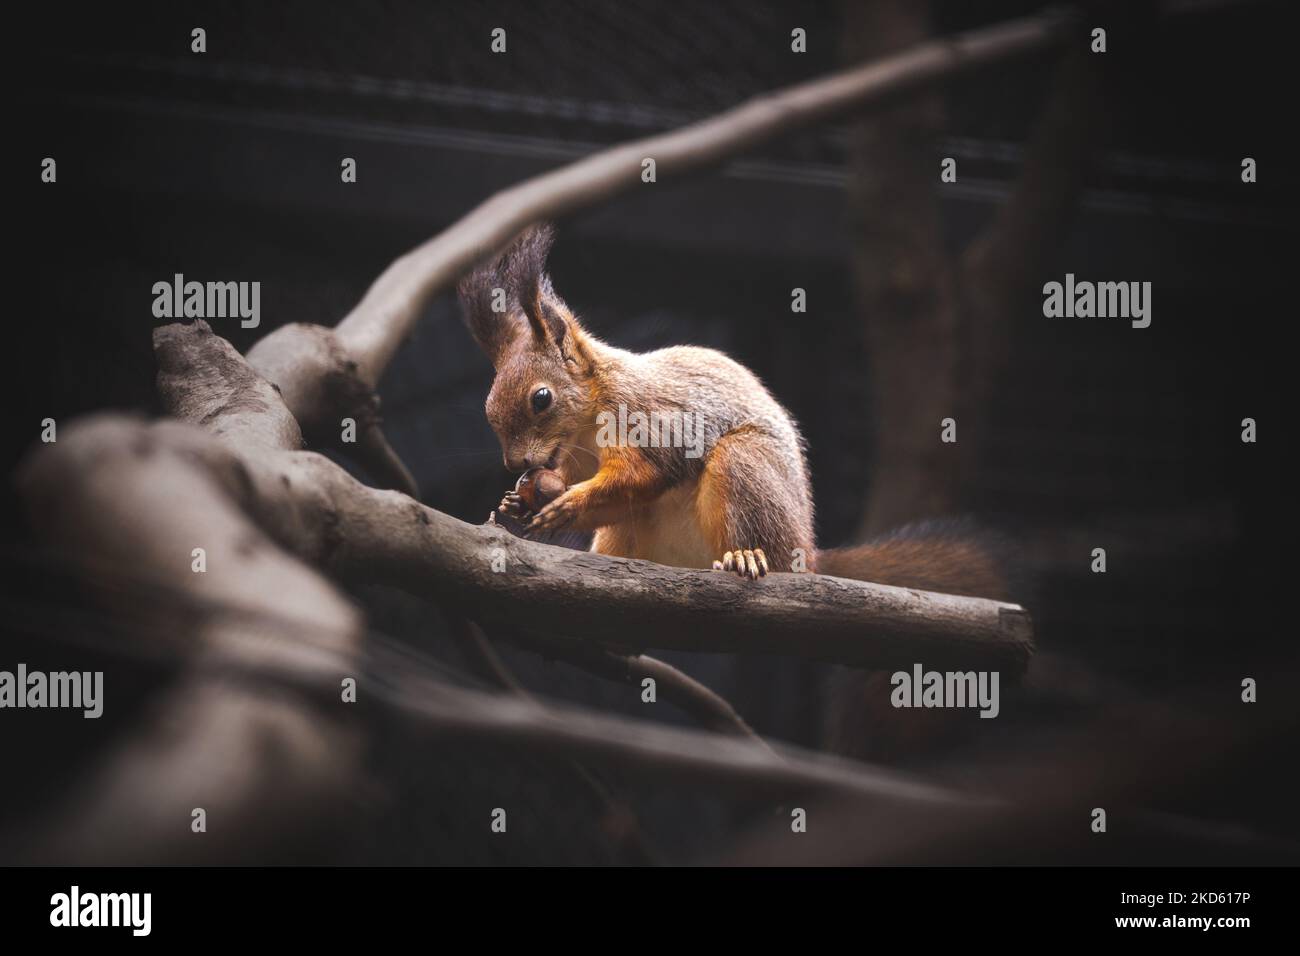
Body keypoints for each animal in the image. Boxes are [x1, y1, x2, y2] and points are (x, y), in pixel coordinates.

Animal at [459, 224, 1016, 758]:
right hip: (632, 538)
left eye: (542, 398)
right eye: (488, 407)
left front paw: (564, 503)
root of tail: (808, 555)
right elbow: (613, 497)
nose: (516, 465)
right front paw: (519, 501)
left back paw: (745, 558)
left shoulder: (653, 422)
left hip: (745, 471)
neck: (586, 425)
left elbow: (642, 476)